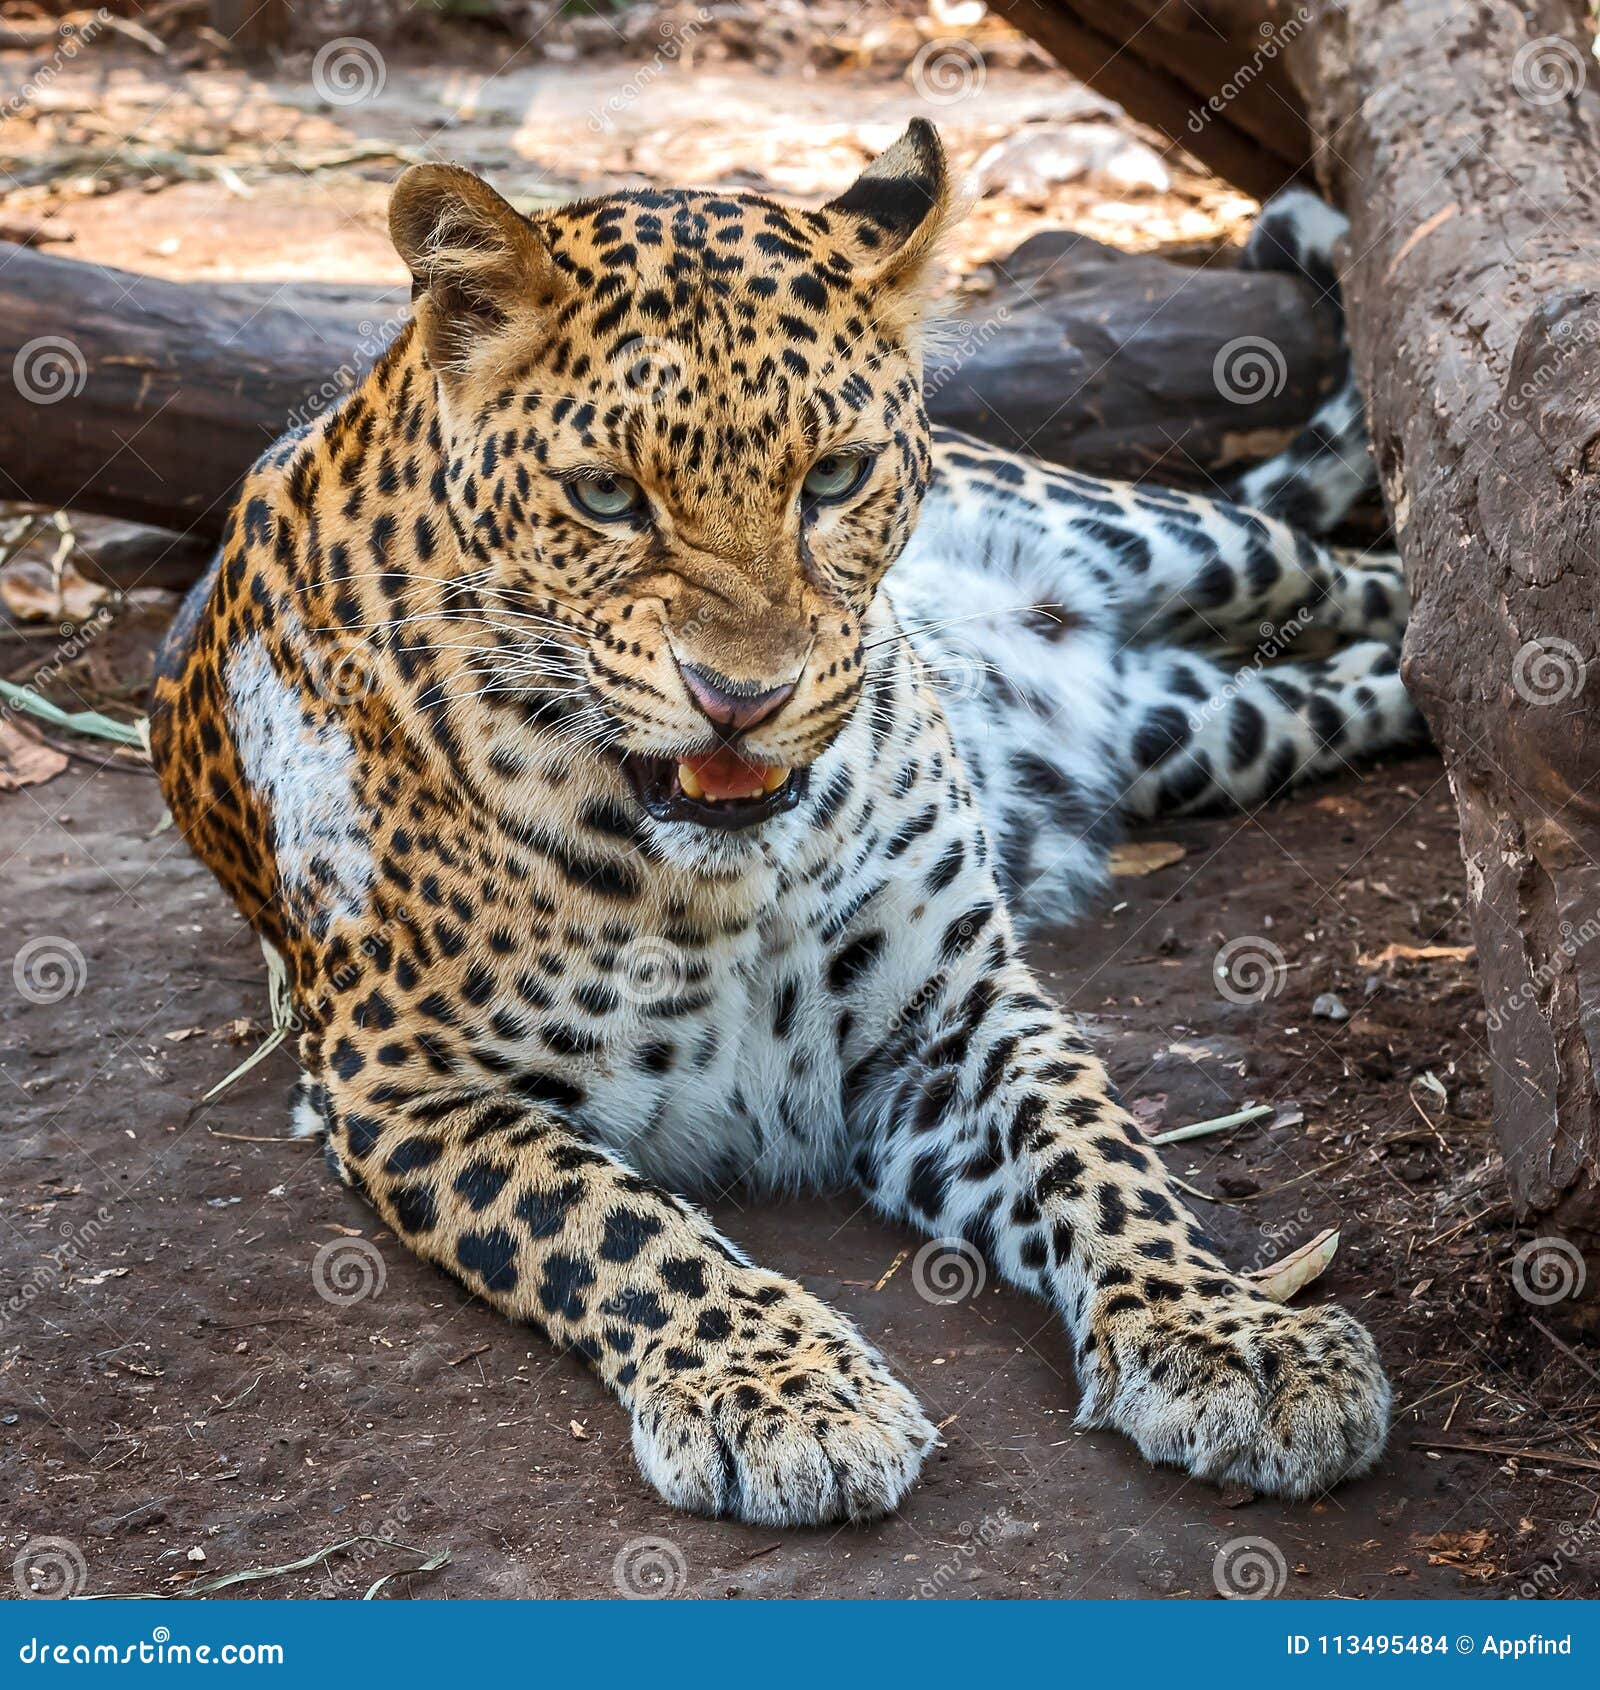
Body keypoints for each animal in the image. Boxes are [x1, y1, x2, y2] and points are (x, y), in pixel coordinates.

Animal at [149, 123, 1421, 1528]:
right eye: (606, 497)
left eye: (836, 477)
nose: (742, 698)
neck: (713, 881)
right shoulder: (404, 1083)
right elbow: (617, 1224)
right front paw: (782, 1393)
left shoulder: (951, 1007)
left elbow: (1099, 1153)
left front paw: (1231, 1334)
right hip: (1203, 732)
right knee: (1343, 680)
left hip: (1189, 541)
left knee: (1367, 576)